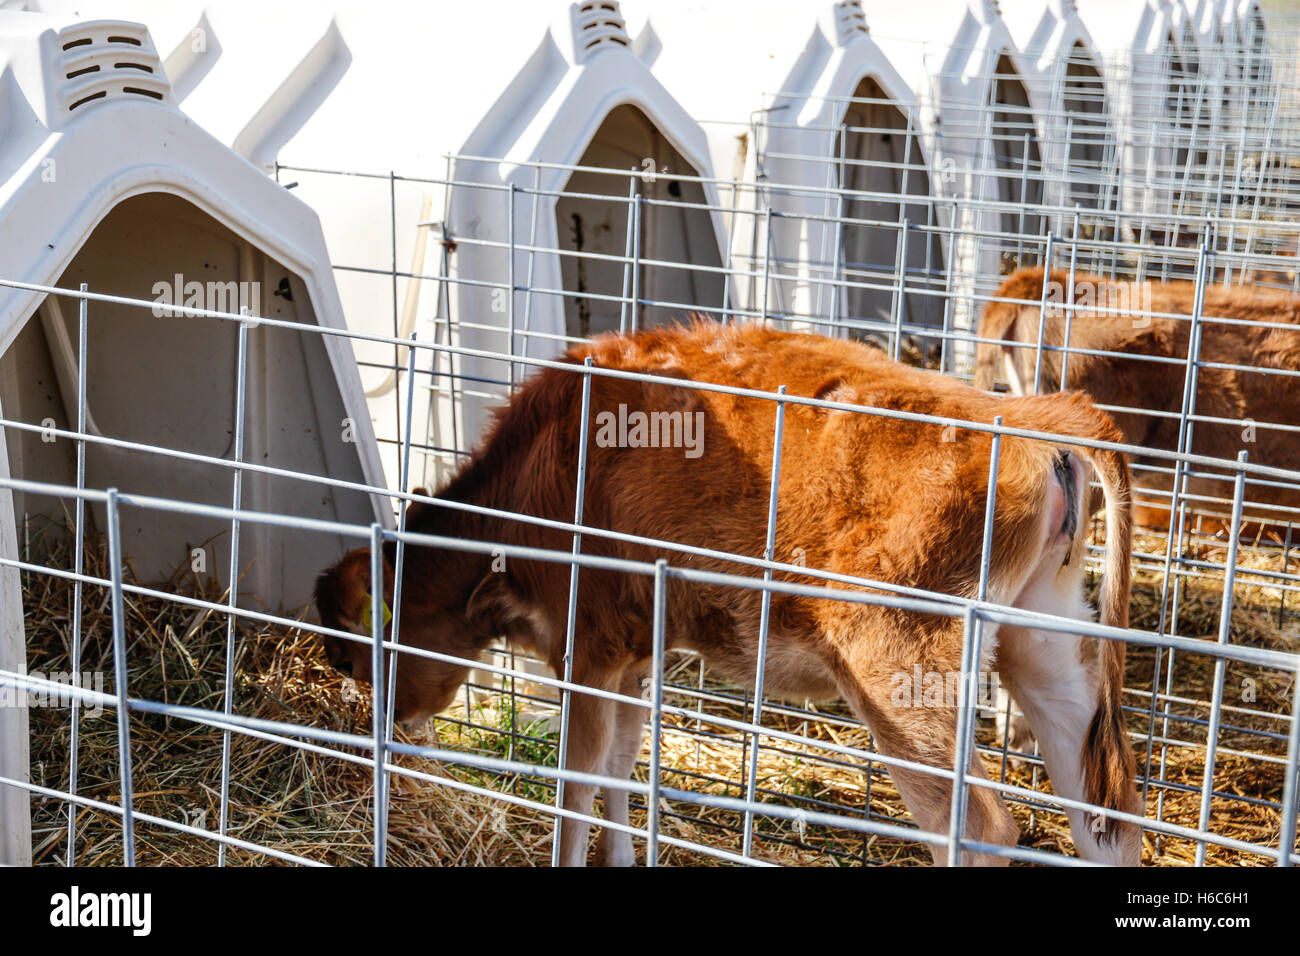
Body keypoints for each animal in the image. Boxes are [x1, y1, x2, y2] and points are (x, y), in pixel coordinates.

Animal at [314, 321, 1140, 866]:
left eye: (352, 653)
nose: (388, 729)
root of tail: (1035, 414)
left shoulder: (588, 643)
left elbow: (577, 784)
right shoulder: (635, 652)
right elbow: (620, 769)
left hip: (898, 664)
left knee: (976, 828)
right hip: (1042, 635)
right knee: (1109, 813)